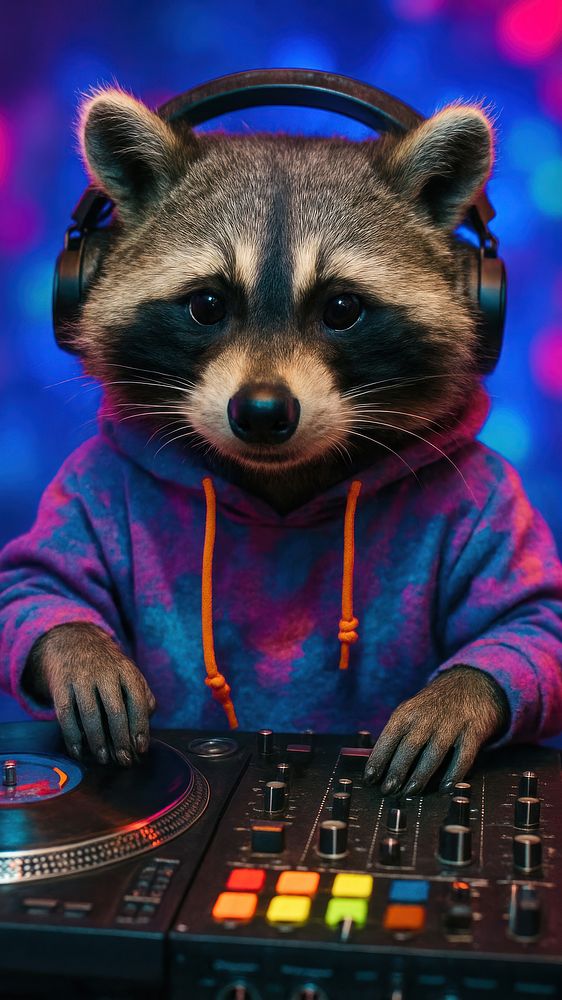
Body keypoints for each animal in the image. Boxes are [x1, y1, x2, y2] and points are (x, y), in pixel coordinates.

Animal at [4, 84, 562, 793]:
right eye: (207, 305)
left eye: (342, 309)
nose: (264, 412)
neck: (280, 483)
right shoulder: (94, 475)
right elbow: (33, 580)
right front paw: (78, 647)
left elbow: (532, 617)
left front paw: (459, 694)